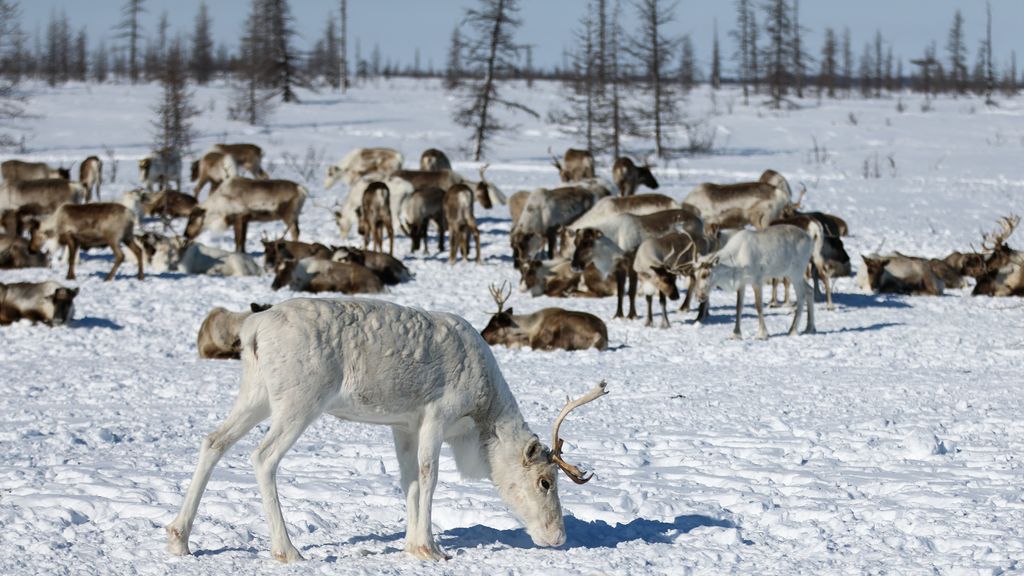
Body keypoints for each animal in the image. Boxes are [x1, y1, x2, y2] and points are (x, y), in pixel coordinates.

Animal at [165, 298, 608, 561]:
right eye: (545, 482)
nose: (557, 537)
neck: (482, 419)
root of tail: (253, 328)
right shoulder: (437, 415)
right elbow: (429, 477)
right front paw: (431, 548)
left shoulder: (403, 424)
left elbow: (408, 480)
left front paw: (413, 545)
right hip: (300, 401)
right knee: (262, 457)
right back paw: (287, 549)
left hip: (256, 393)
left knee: (213, 441)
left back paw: (179, 538)